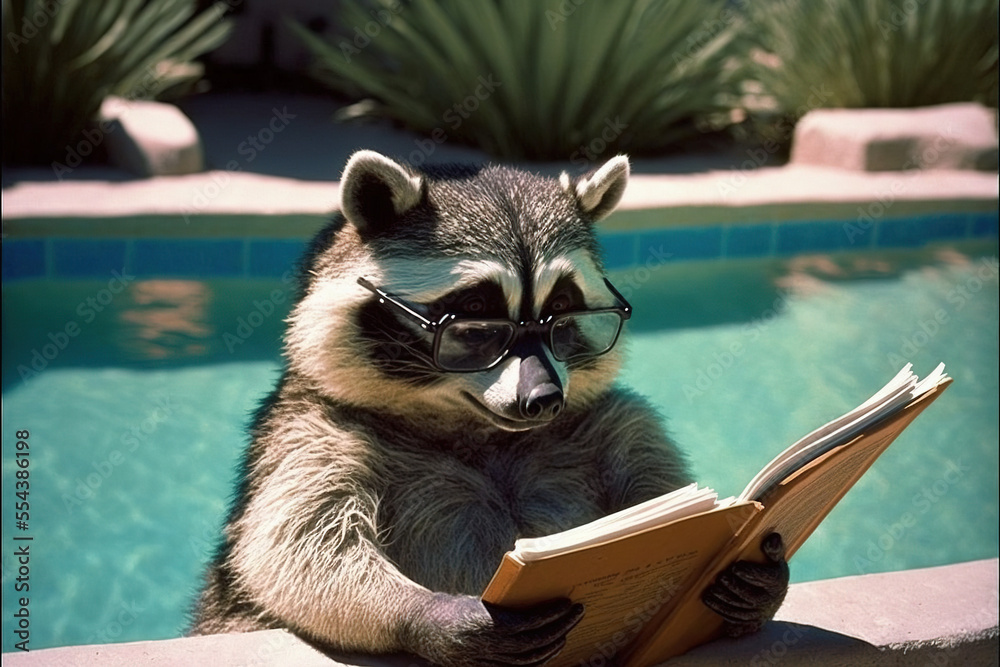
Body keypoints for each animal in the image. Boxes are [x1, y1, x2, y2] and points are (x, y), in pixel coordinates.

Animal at [190, 151, 788, 666]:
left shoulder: (619, 421)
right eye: (478, 317)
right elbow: (294, 549)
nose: (544, 400)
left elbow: (658, 486)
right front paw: (422, 611)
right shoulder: (307, 430)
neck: (479, 431)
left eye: (561, 310)